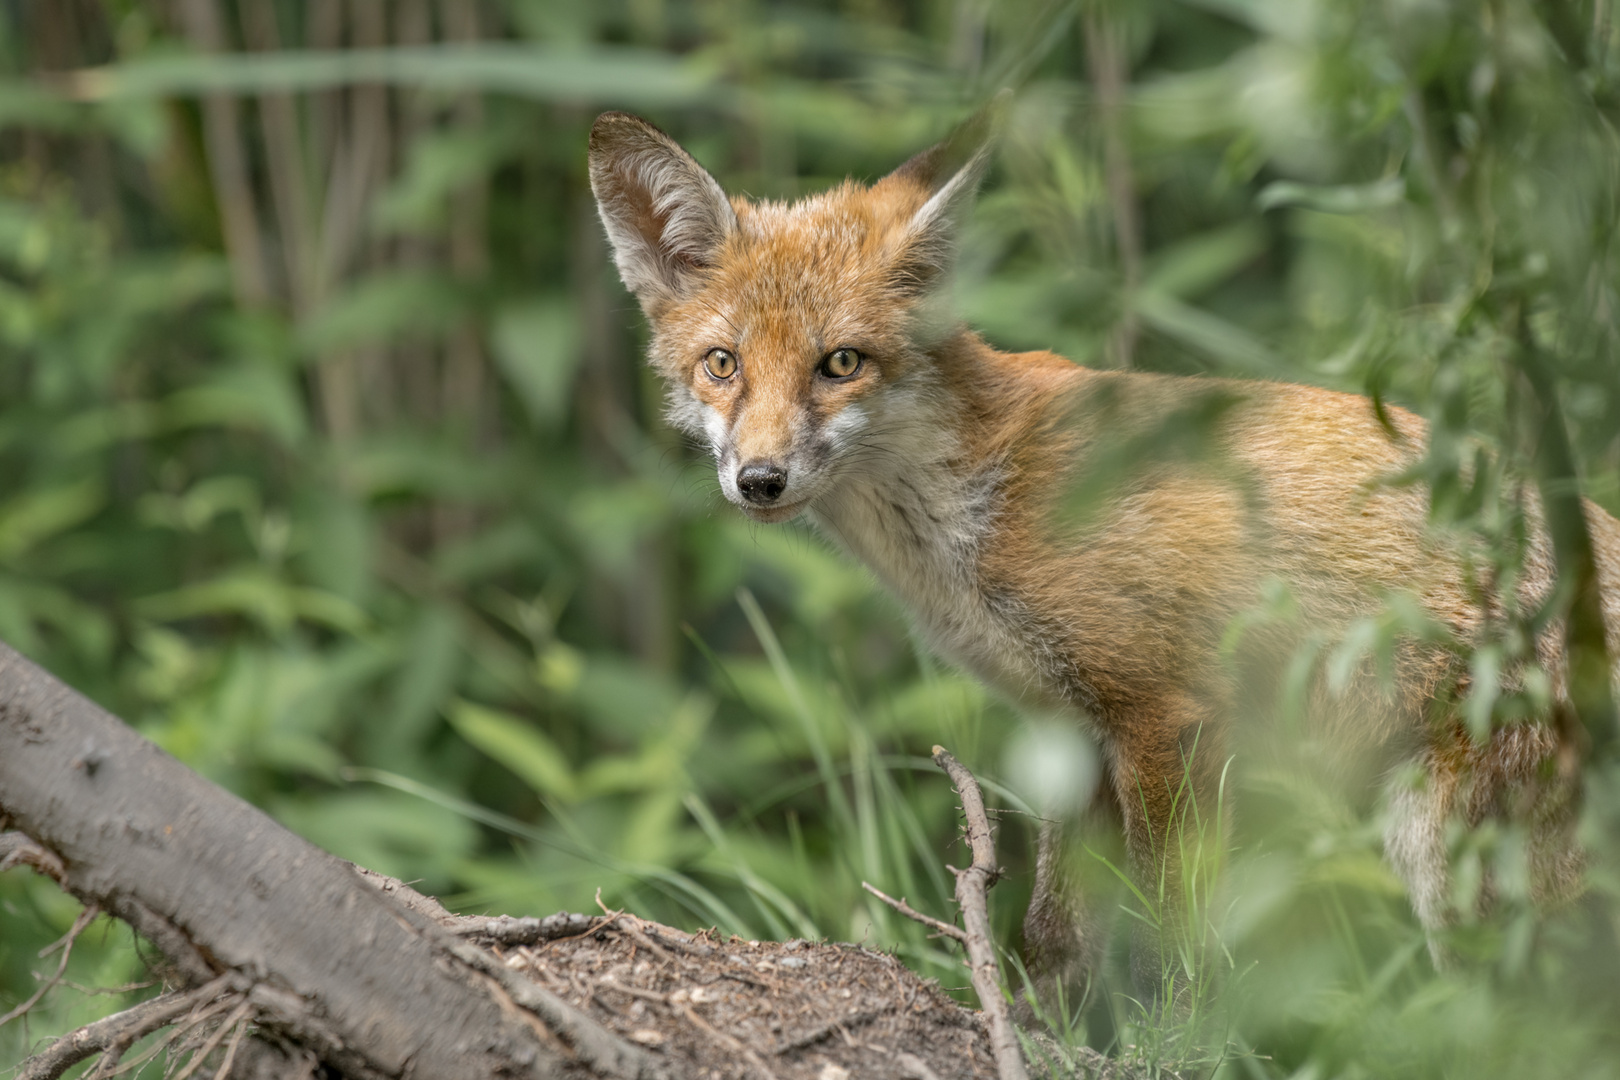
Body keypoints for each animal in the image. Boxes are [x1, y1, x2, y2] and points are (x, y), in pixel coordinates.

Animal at [586, 107, 1620, 997]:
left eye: (840, 363)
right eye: (722, 364)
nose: (759, 480)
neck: (975, 509)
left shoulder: (1162, 717)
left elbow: (1173, 942)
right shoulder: (1070, 730)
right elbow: (1053, 935)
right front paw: (1039, 1032)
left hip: (1457, 865)